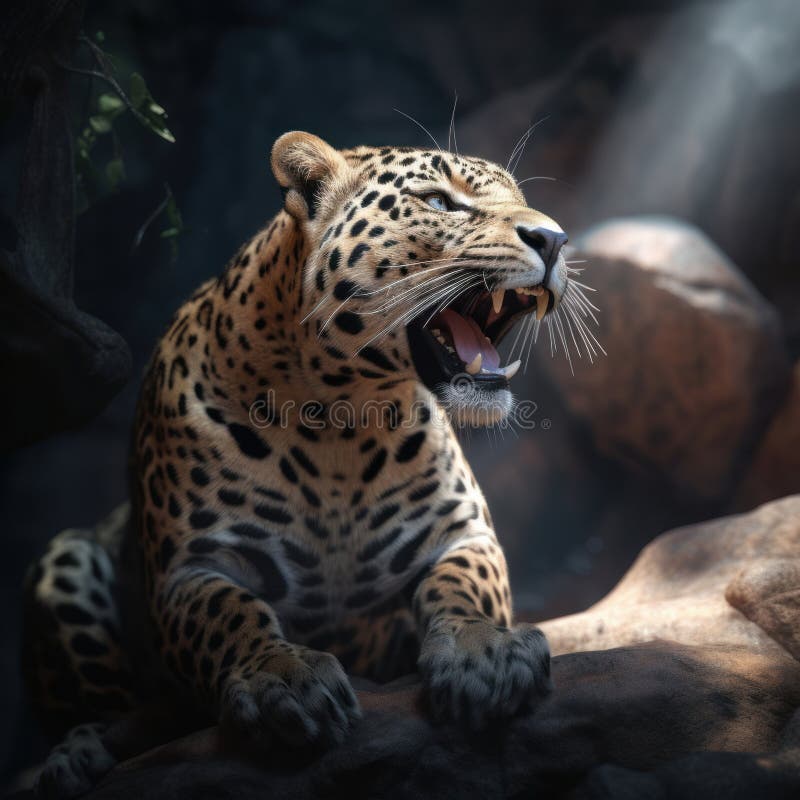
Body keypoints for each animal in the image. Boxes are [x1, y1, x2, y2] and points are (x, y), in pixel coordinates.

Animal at [22, 131, 574, 798]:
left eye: (520, 198)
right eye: (441, 202)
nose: (554, 239)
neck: (341, 420)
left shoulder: (460, 532)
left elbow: (466, 585)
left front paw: (485, 652)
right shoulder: (190, 567)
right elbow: (229, 613)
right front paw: (283, 680)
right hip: (66, 559)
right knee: (114, 708)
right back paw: (78, 756)